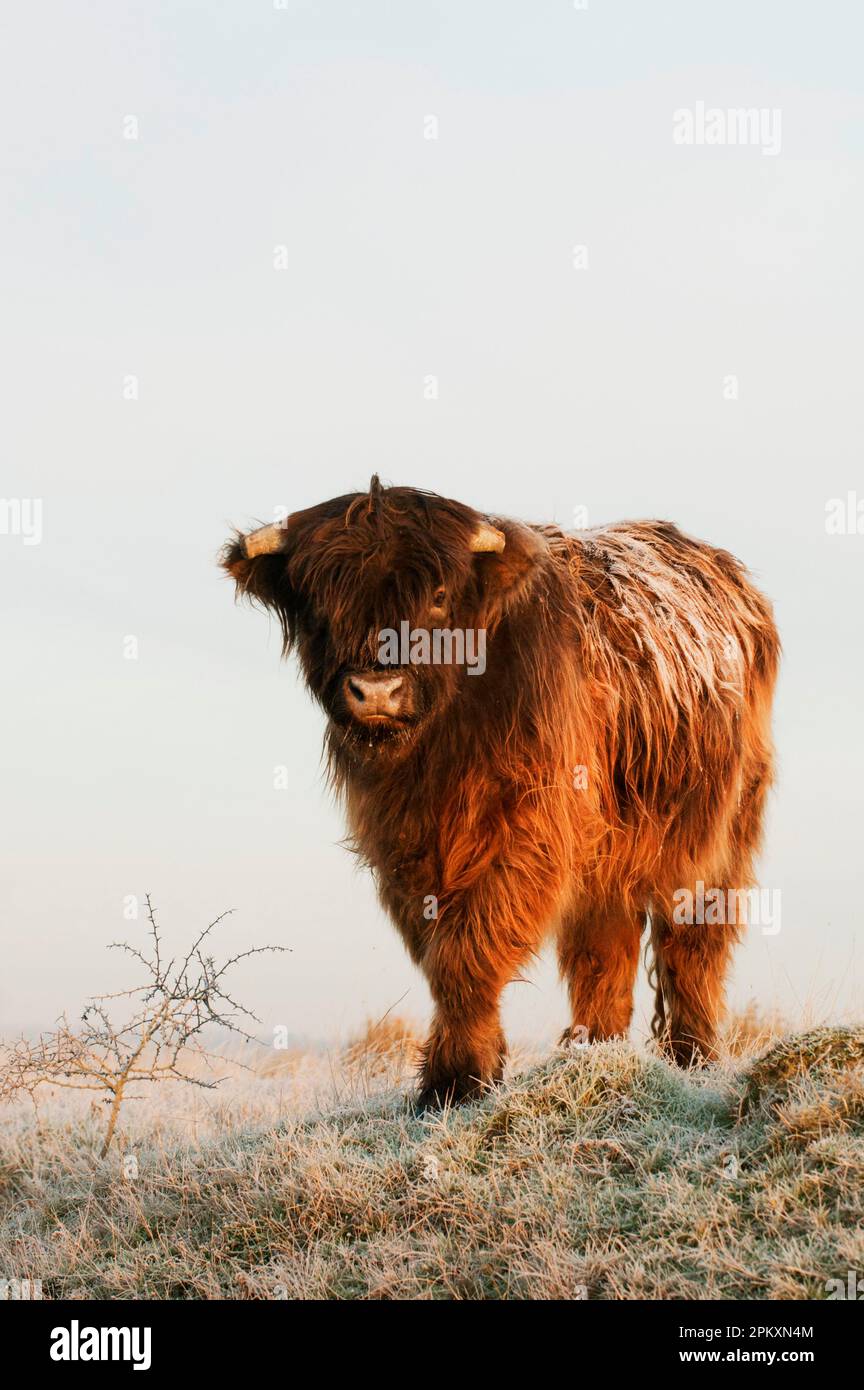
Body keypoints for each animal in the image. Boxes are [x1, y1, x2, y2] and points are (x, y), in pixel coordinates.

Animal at [221, 476, 779, 1108]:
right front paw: (462, 1073)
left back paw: (692, 1056)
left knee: (694, 942)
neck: (441, 746)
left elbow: (469, 948)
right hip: (609, 852)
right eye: (319, 601)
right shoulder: (401, 842)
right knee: (603, 949)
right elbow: (441, 952)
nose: (377, 690)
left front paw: (458, 1076)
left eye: (438, 596)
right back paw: (594, 1053)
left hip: (720, 832)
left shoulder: (530, 827)